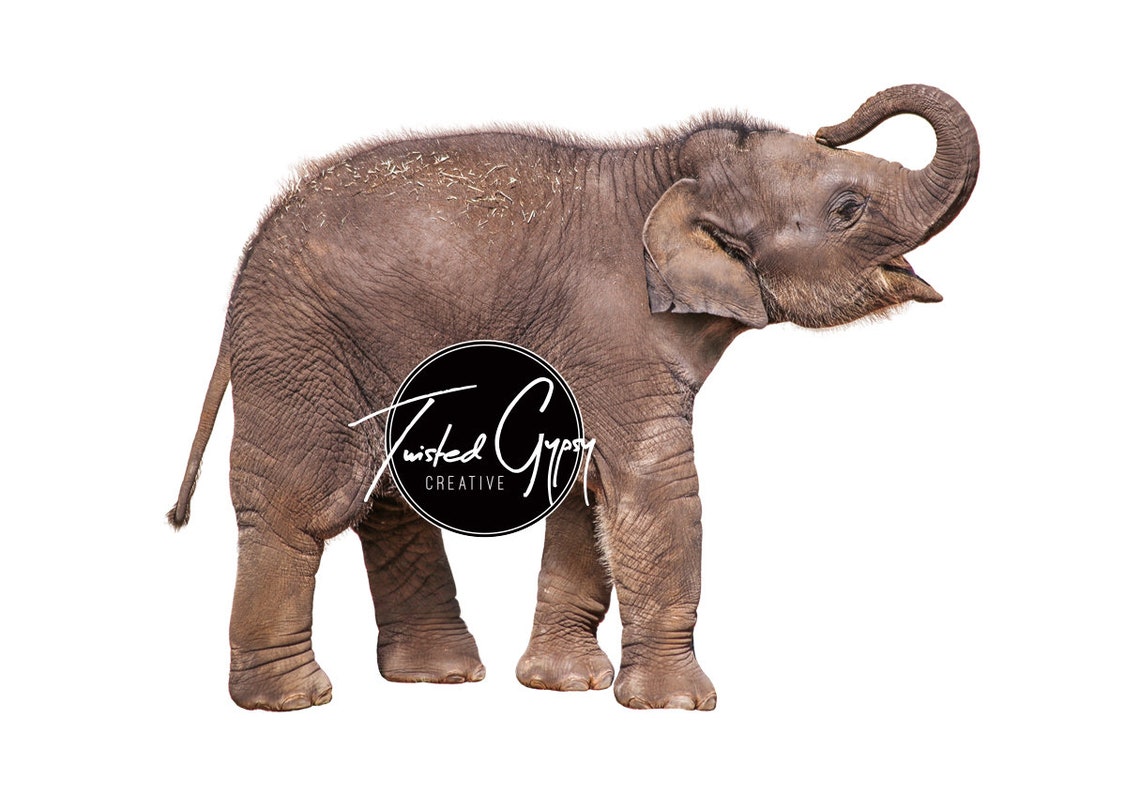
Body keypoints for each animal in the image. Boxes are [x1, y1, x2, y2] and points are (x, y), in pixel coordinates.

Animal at [169, 84, 979, 711]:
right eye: (847, 207)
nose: (832, 124)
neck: (667, 170)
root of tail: (247, 257)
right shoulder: (611, 328)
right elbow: (652, 480)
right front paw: (679, 705)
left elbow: (586, 485)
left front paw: (564, 687)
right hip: (299, 349)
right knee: (303, 504)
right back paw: (295, 700)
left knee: (387, 497)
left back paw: (438, 678)